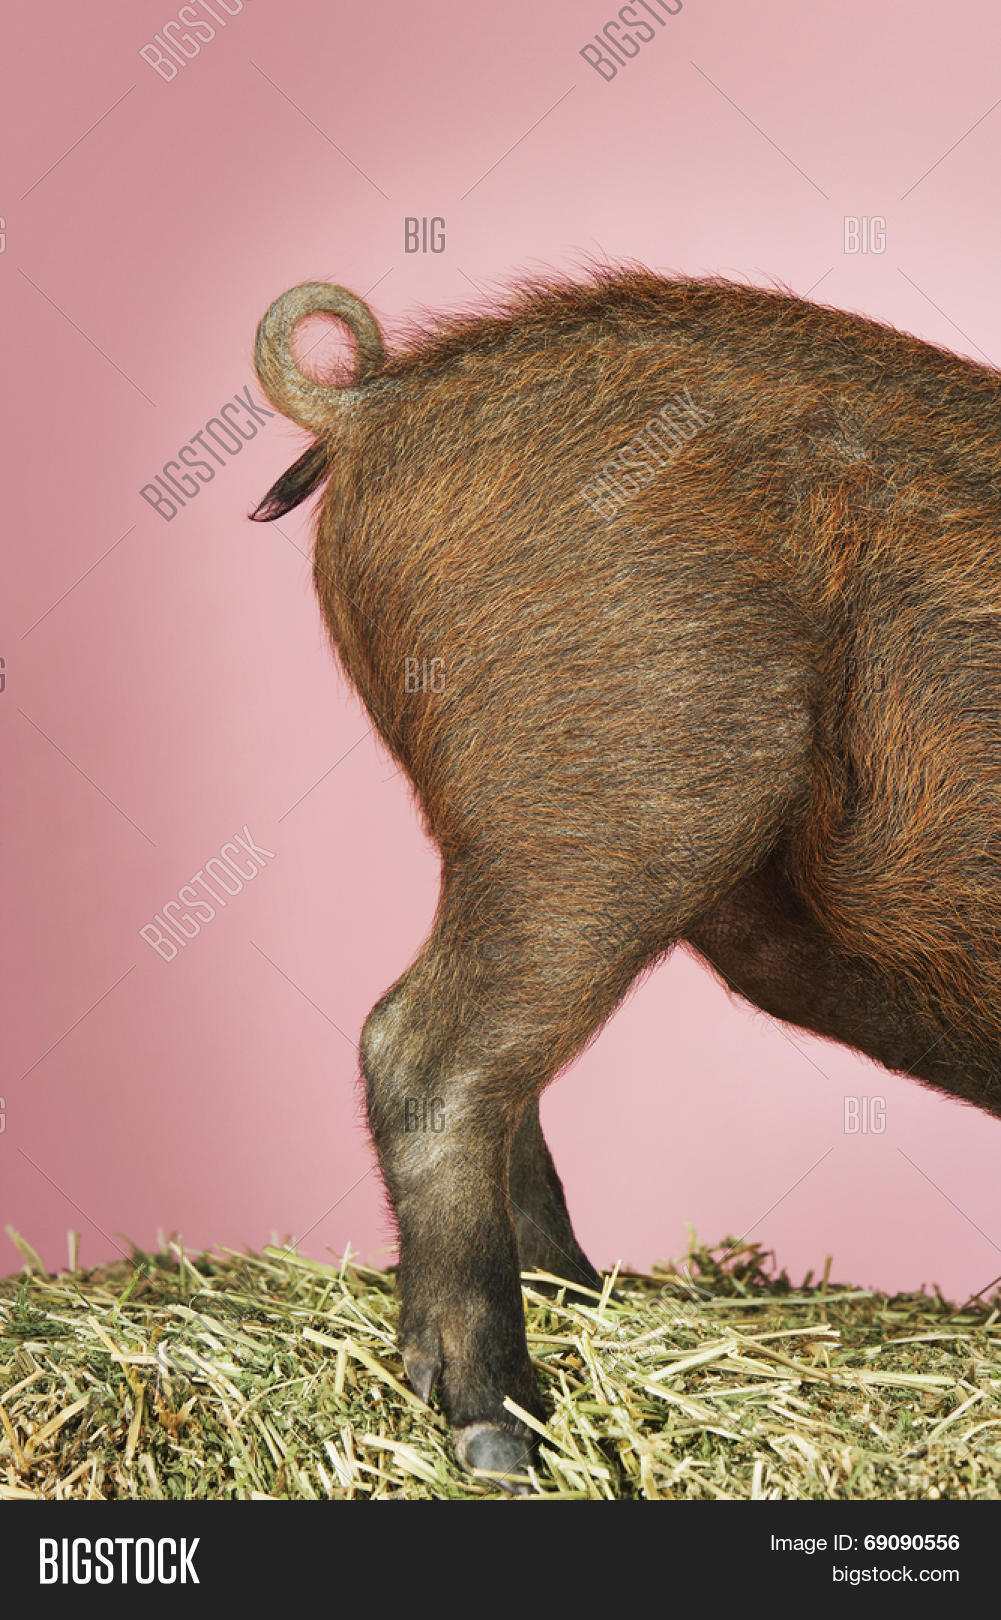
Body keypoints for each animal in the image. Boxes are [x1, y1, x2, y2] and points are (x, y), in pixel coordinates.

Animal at [251, 269, 1001, 1480]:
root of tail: (374, 405)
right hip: (616, 804)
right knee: (422, 1049)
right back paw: (504, 1433)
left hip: (522, 839)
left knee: (498, 1077)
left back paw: (586, 1302)